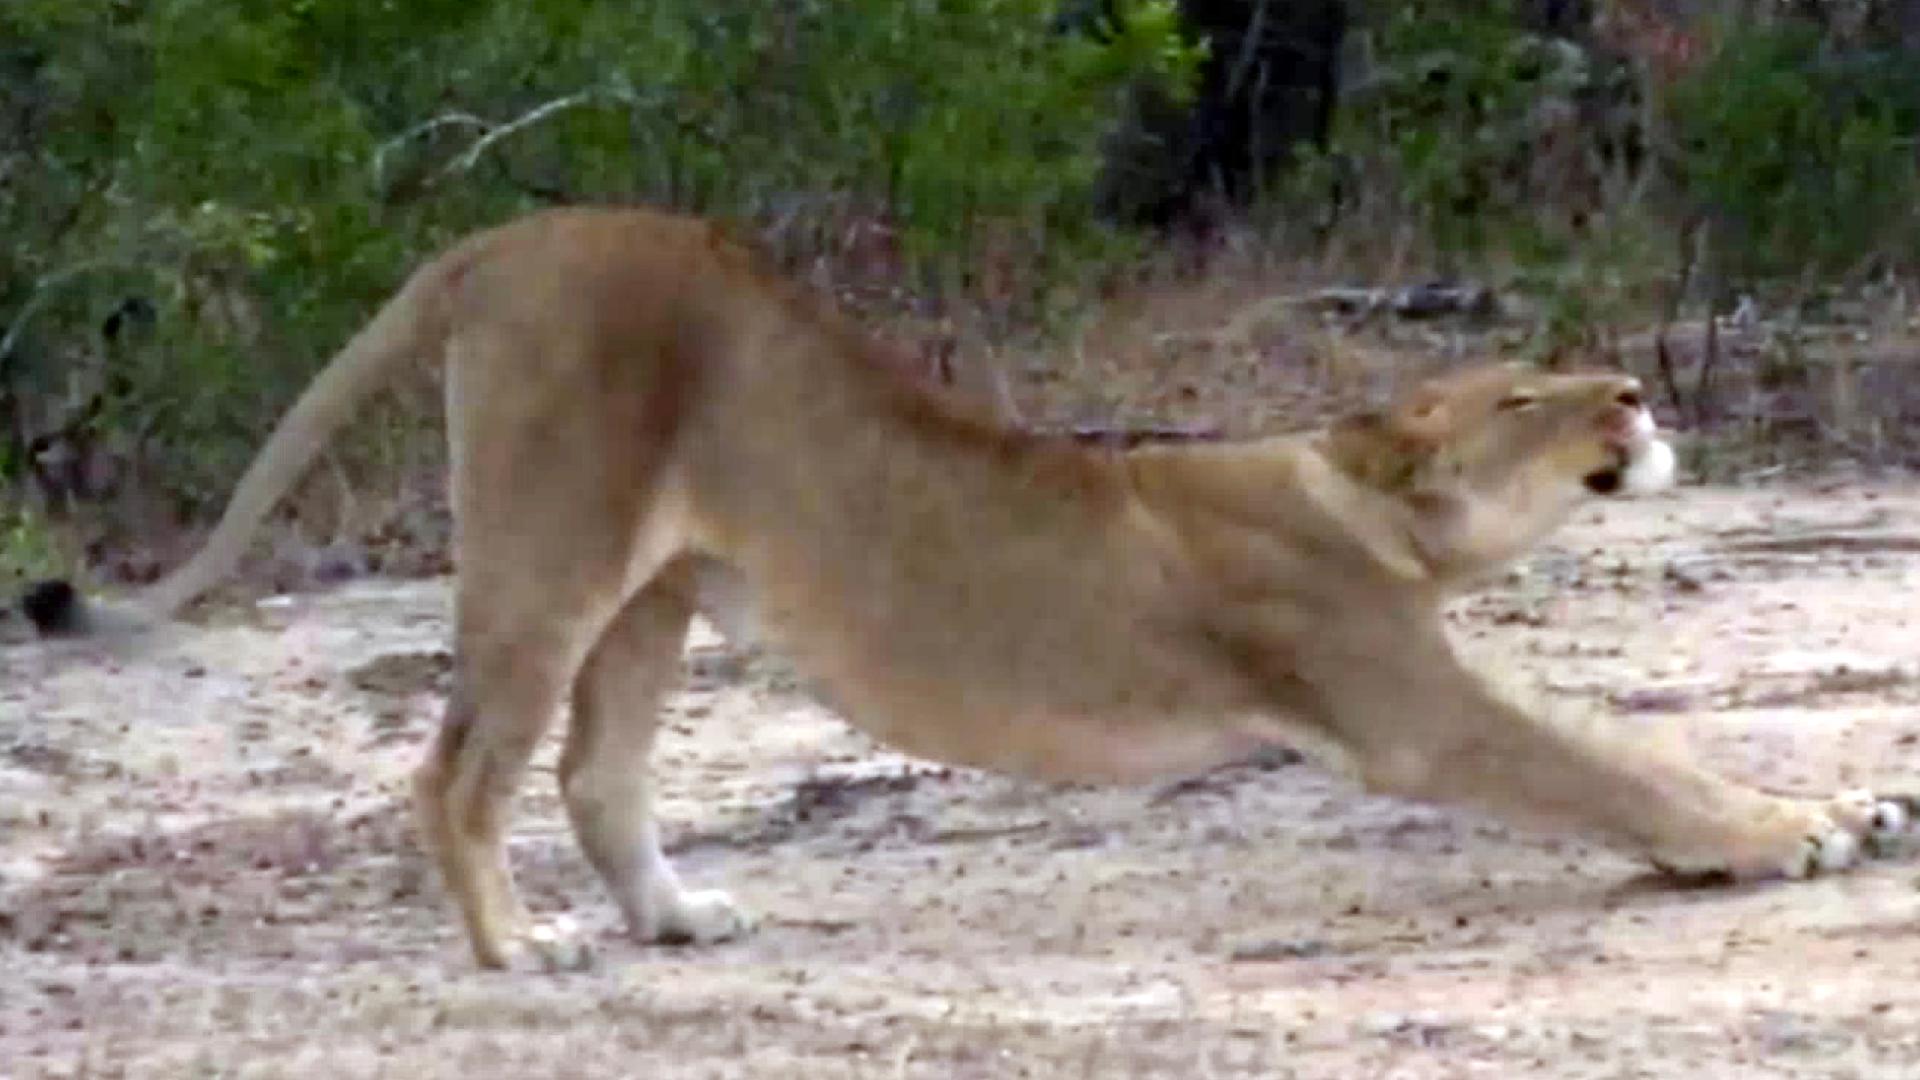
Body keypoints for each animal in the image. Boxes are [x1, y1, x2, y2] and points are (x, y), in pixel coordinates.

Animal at [23, 206, 1912, 970]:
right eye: (1526, 394)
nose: (1640, 391)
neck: (1353, 504)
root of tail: (501, 238)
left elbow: (1624, 744)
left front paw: (1841, 809)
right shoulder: (1400, 702)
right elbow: (1603, 761)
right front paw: (1781, 839)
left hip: (664, 583)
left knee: (595, 770)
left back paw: (679, 920)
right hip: (552, 544)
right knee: (462, 764)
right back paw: (518, 950)